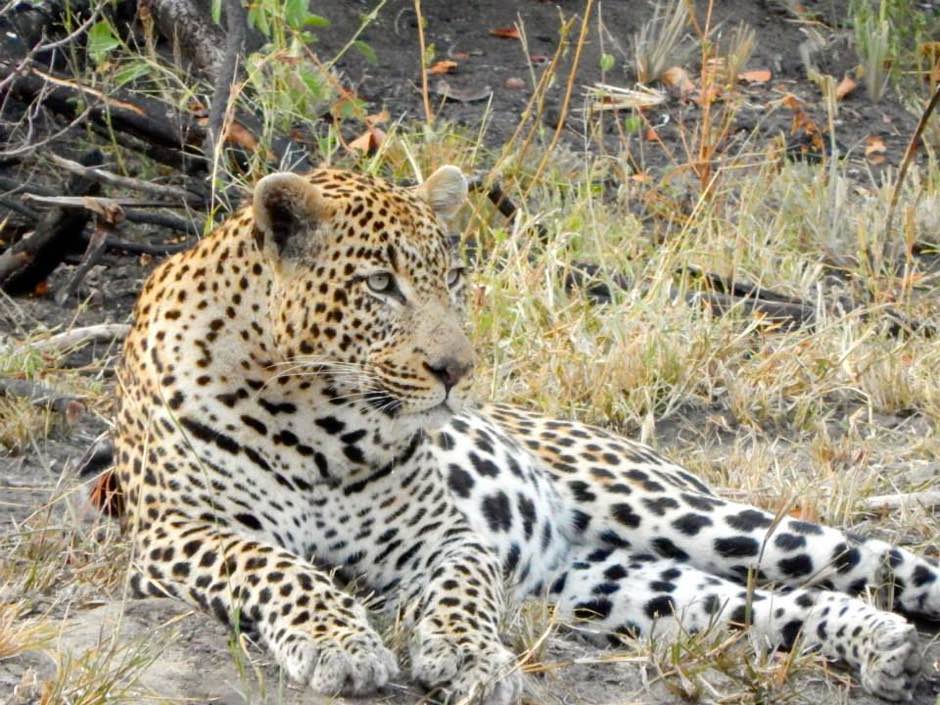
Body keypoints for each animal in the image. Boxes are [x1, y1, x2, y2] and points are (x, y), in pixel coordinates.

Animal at [111, 164, 940, 704]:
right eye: (380, 284)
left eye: (450, 278)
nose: (456, 369)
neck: (317, 417)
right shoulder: (179, 530)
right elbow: (279, 566)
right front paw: (339, 644)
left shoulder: (447, 535)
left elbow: (462, 589)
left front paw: (468, 655)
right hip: (605, 582)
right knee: (762, 602)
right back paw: (885, 647)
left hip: (675, 512)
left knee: (865, 556)